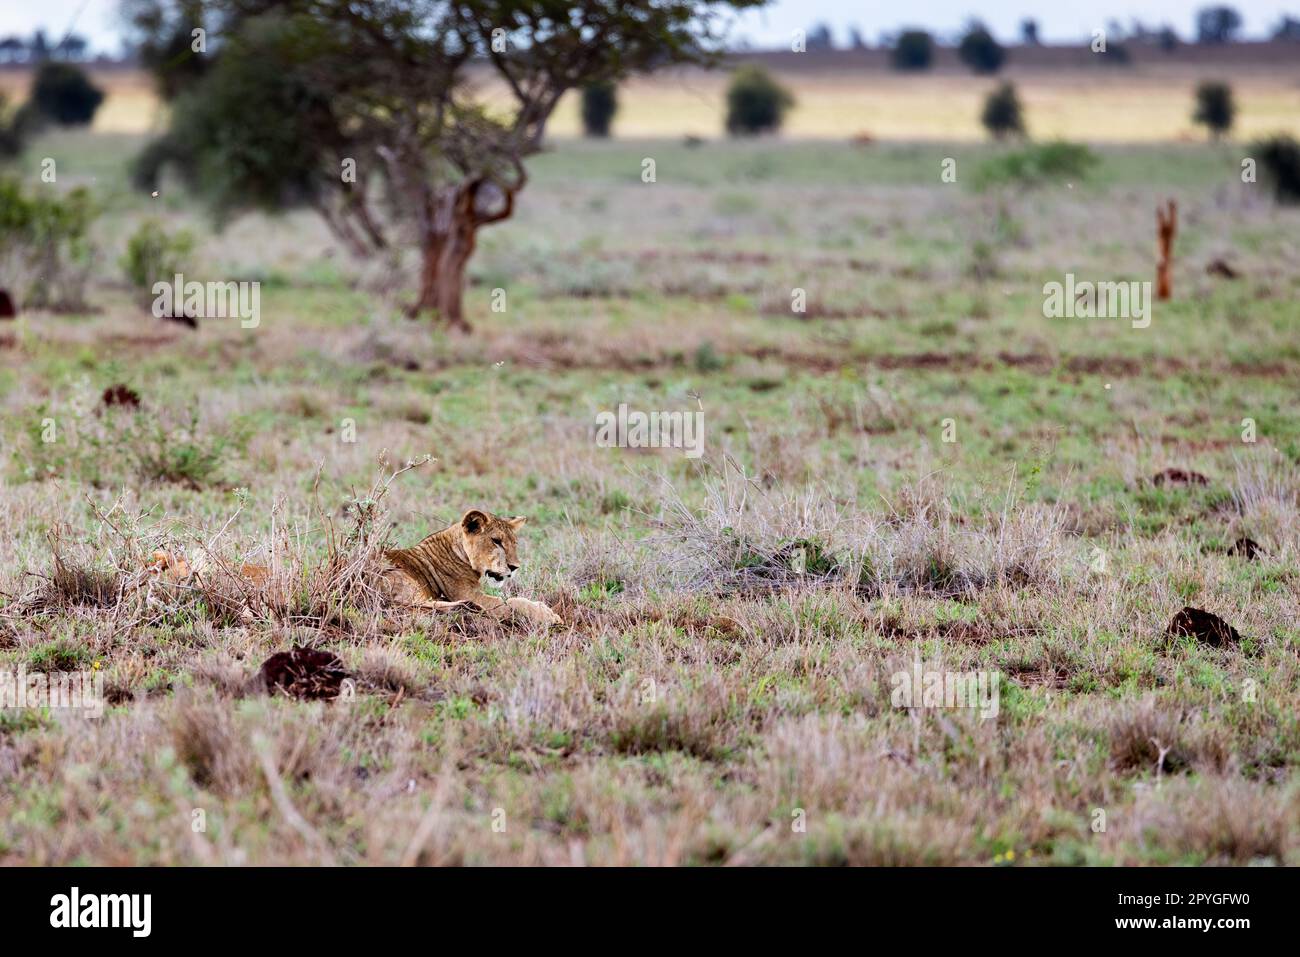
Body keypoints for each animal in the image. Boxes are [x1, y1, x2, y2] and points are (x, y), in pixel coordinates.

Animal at [380, 509, 562, 626]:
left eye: (514, 543)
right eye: (496, 541)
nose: (515, 567)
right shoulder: (469, 593)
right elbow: (510, 602)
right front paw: (548, 614)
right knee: (412, 605)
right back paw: (467, 606)